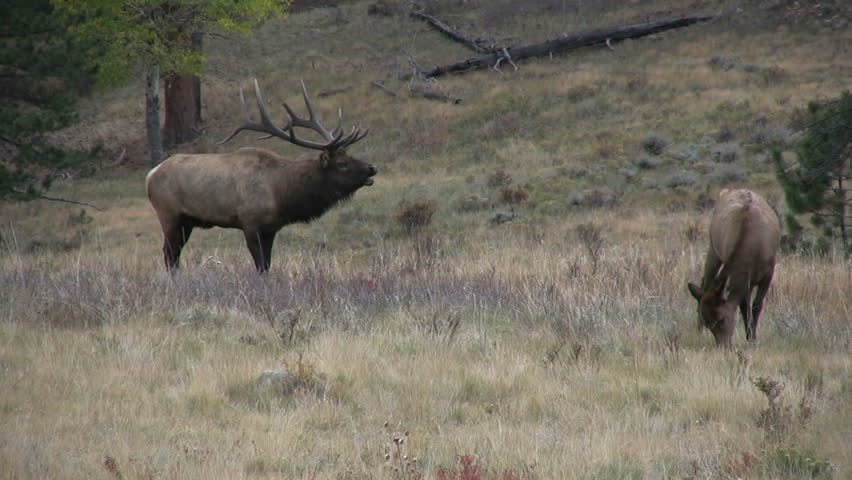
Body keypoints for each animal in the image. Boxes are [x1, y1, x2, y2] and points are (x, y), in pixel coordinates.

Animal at [146, 79, 377, 272]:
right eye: (342, 164)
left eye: (349, 155)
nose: (372, 168)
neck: (281, 194)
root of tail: (150, 175)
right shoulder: (249, 222)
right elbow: (260, 266)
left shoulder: (271, 228)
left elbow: (267, 265)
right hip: (168, 214)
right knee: (169, 253)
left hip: (187, 221)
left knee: (175, 254)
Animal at [687, 188, 781, 346]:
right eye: (709, 324)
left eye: (722, 318)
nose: (723, 346)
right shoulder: (744, 276)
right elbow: (744, 306)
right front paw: (750, 337)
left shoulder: (769, 272)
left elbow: (756, 305)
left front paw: (752, 338)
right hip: (713, 249)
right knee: (706, 282)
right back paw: (698, 331)